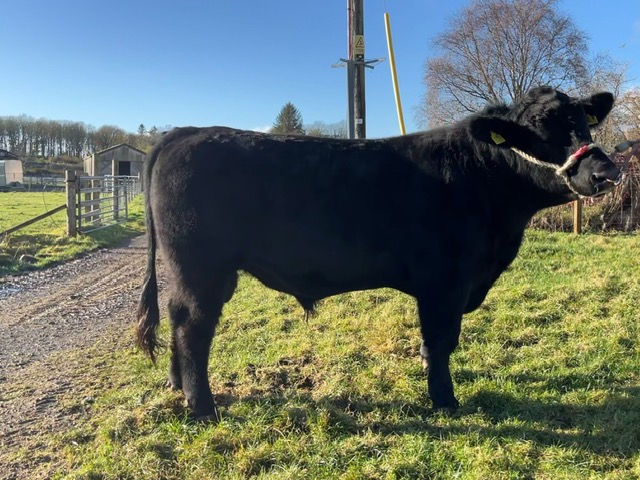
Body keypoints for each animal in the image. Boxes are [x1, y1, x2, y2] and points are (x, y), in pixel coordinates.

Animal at [137, 86, 621, 420]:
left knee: (179, 318)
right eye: (539, 132)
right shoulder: (445, 282)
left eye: (585, 125)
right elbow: (442, 339)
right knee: (193, 324)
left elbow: (437, 342)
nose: (606, 171)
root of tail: (187, 131)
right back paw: (202, 406)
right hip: (202, 267)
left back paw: (177, 385)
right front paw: (445, 401)